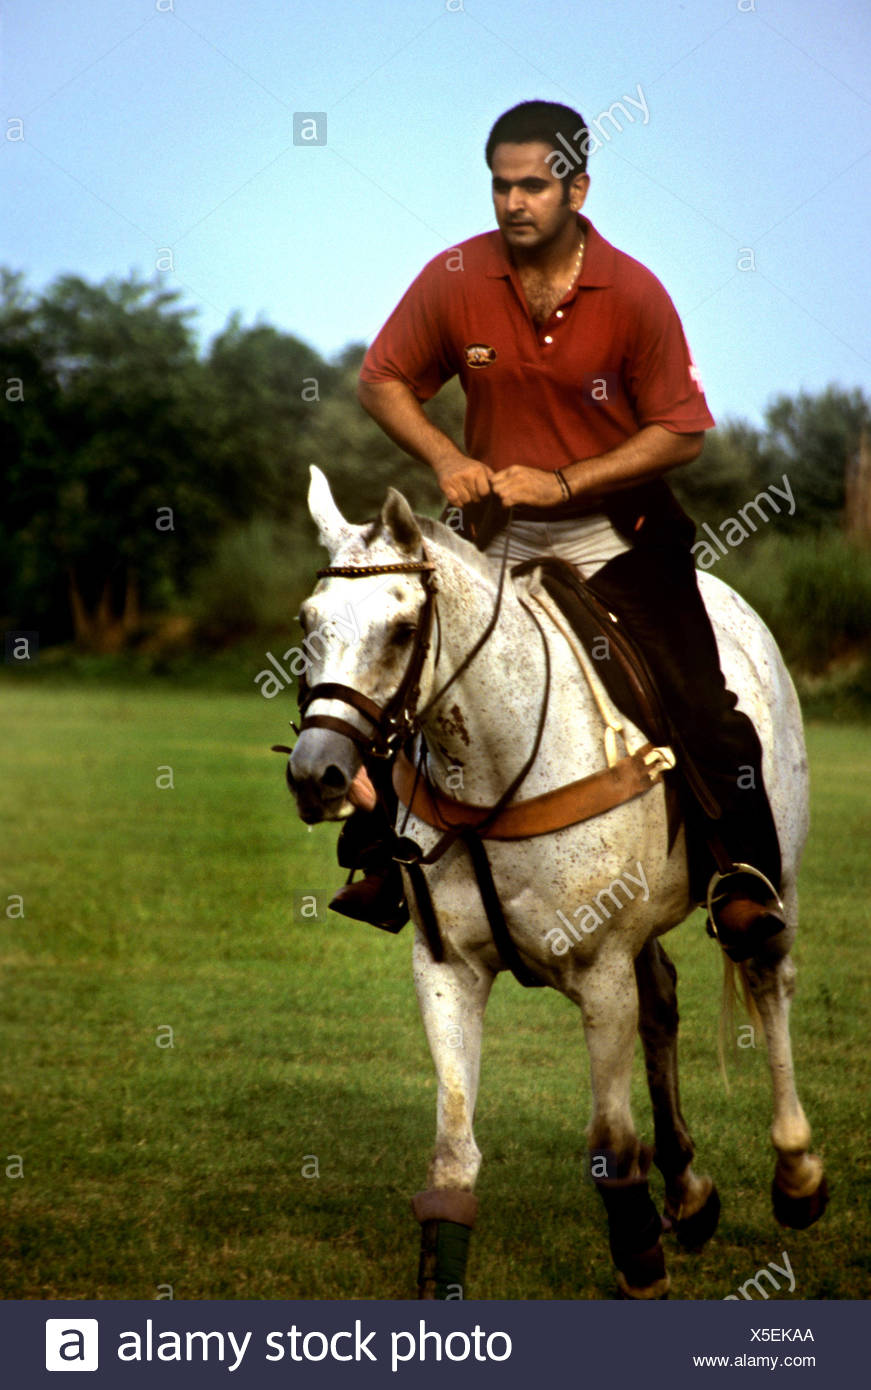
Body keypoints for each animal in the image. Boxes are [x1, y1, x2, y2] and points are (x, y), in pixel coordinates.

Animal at [285, 465, 827, 1299]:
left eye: (403, 629)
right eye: (308, 621)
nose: (316, 775)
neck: (495, 768)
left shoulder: (599, 969)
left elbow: (609, 1143)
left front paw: (638, 1261)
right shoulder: (446, 968)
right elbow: (452, 1150)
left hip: (778, 884)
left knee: (769, 980)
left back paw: (796, 1174)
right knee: (662, 998)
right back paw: (687, 1192)